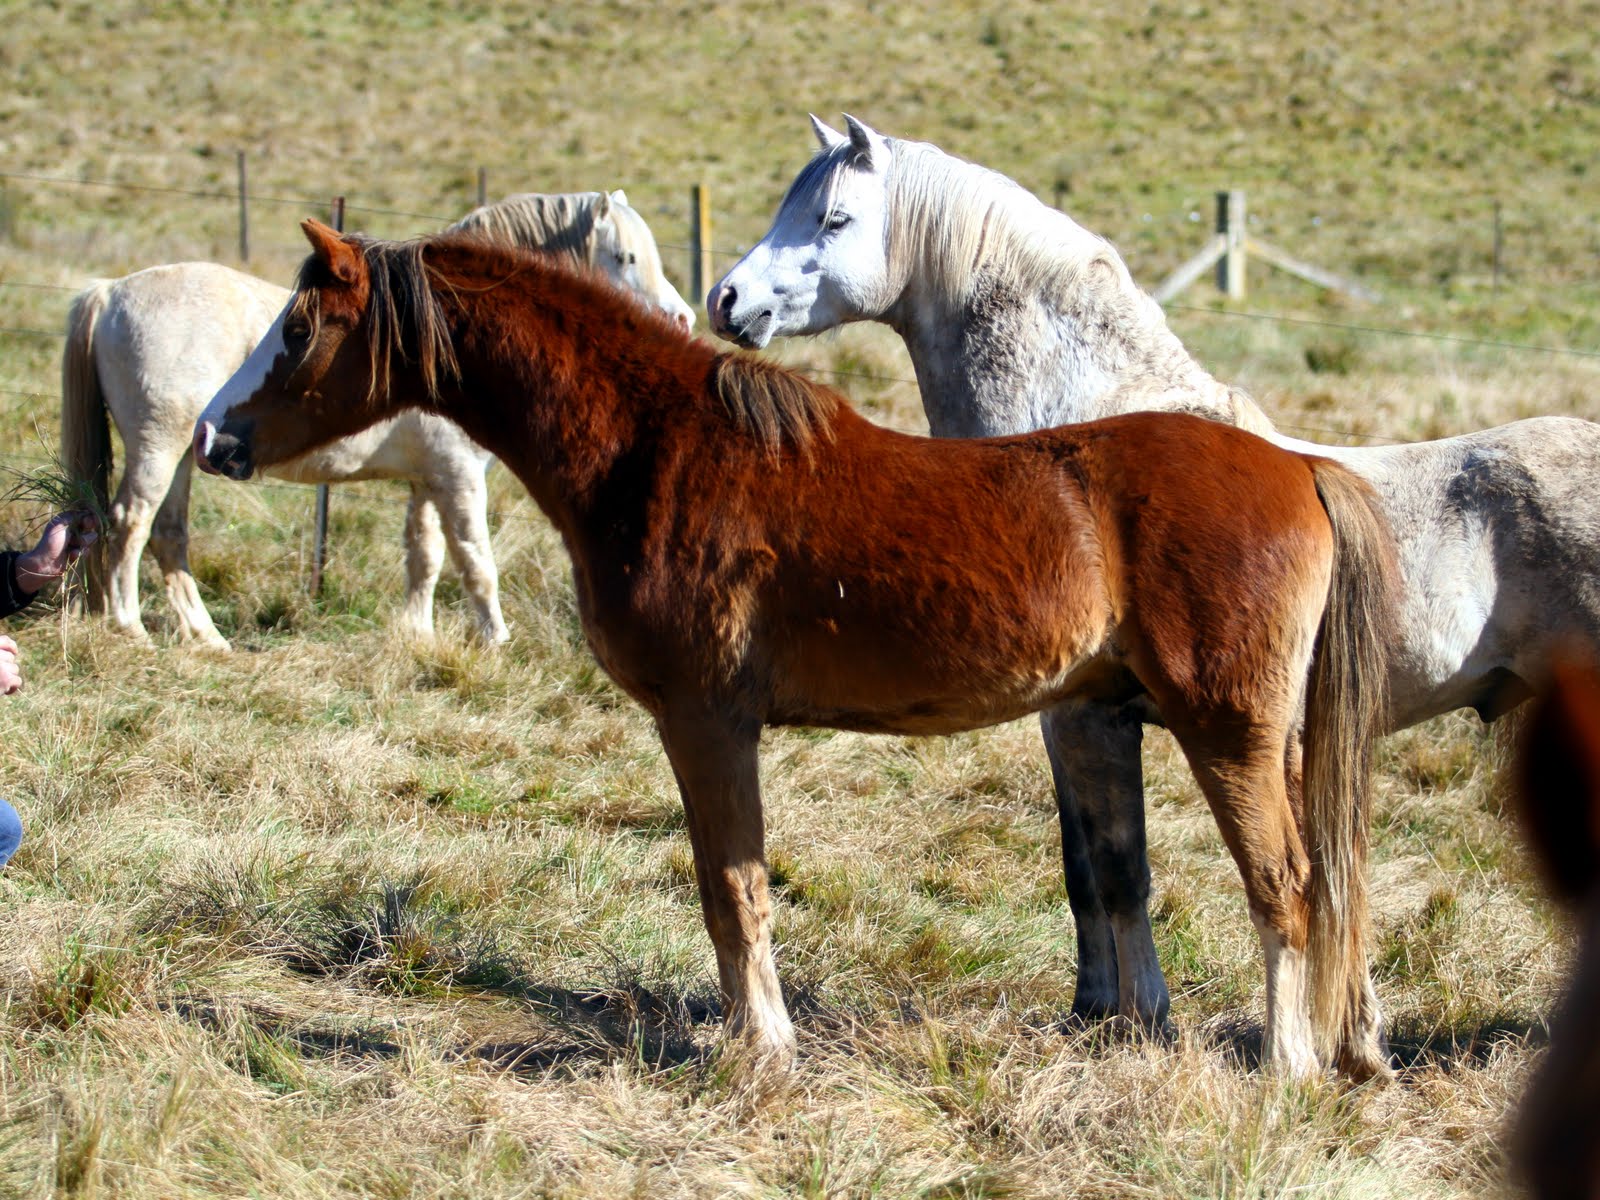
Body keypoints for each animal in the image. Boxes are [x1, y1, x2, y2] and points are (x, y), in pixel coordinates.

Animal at [62, 189, 694, 649]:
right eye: (627, 257)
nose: (683, 320)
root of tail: (110, 291)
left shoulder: (427, 479)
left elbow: (426, 555)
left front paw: (418, 633)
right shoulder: (459, 476)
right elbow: (476, 560)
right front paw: (495, 640)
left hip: (187, 454)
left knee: (168, 536)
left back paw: (206, 636)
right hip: (159, 449)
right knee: (129, 525)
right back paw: (130, 628)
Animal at [193, 219, 1399, 1079]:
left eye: (296, 330)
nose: (214, 437)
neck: (656, 450)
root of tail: (1298, 468)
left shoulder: (705, 722)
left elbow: (731, 888)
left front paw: (758, 1049)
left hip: (1229, 734)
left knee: (1287, 888)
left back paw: (1288, 1069)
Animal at [708, 114, 1600, 1042]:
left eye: (834, 218)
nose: (727, 301)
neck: (1083, 452)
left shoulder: (1090, 721)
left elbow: (1117, 870)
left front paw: (1141, 1019)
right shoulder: (1070, 723)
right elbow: (1082, 870)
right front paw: (1096, 1011)